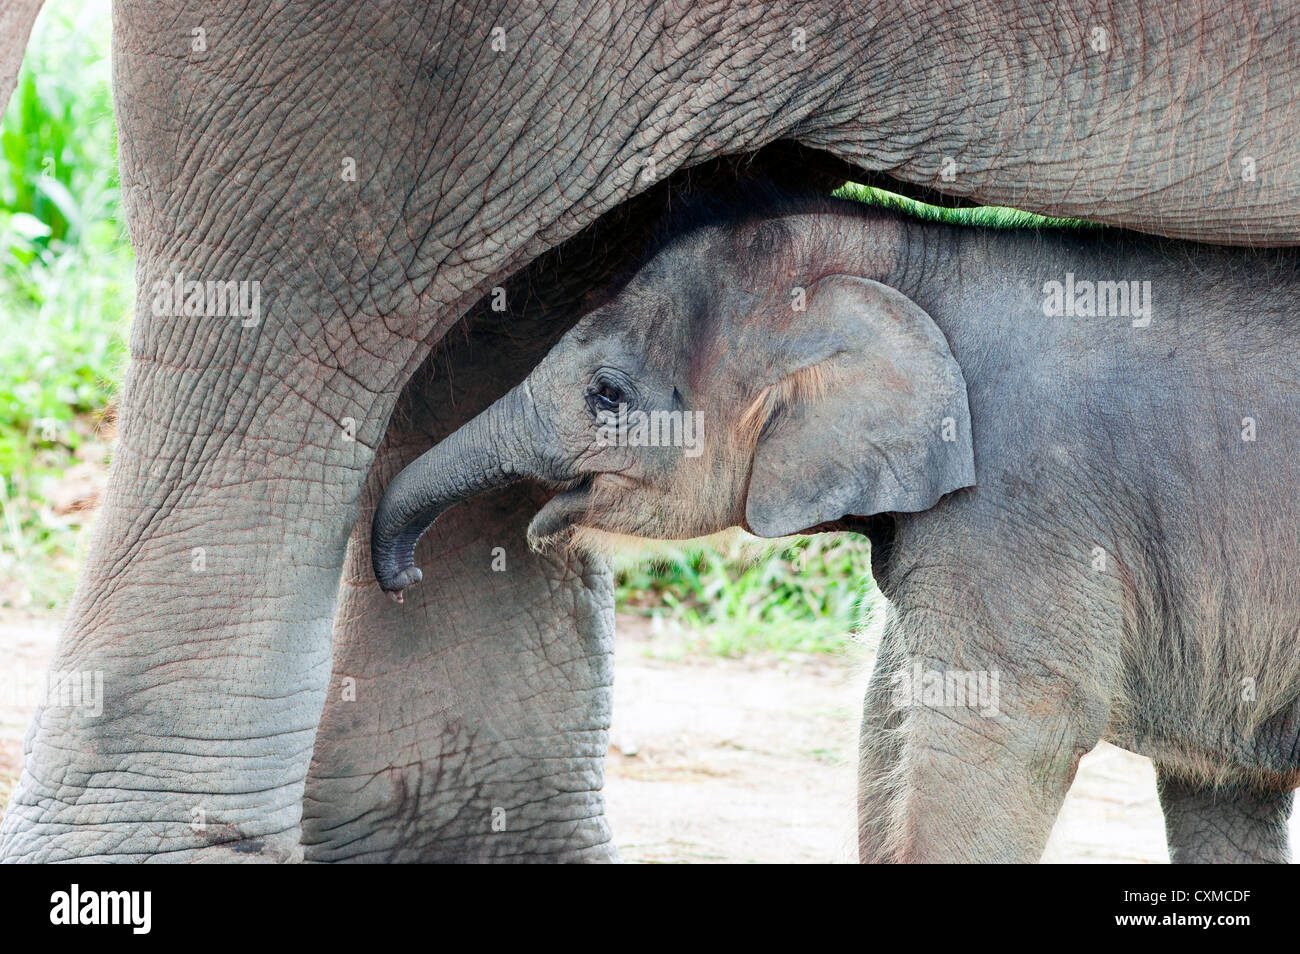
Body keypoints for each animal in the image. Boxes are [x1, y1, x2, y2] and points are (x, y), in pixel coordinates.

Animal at [372, 188, 1300, 863]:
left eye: (607, 394)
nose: (402, 576)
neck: (916, 257)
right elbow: (891, 718)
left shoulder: (1031, 502)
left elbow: (1008, 727)